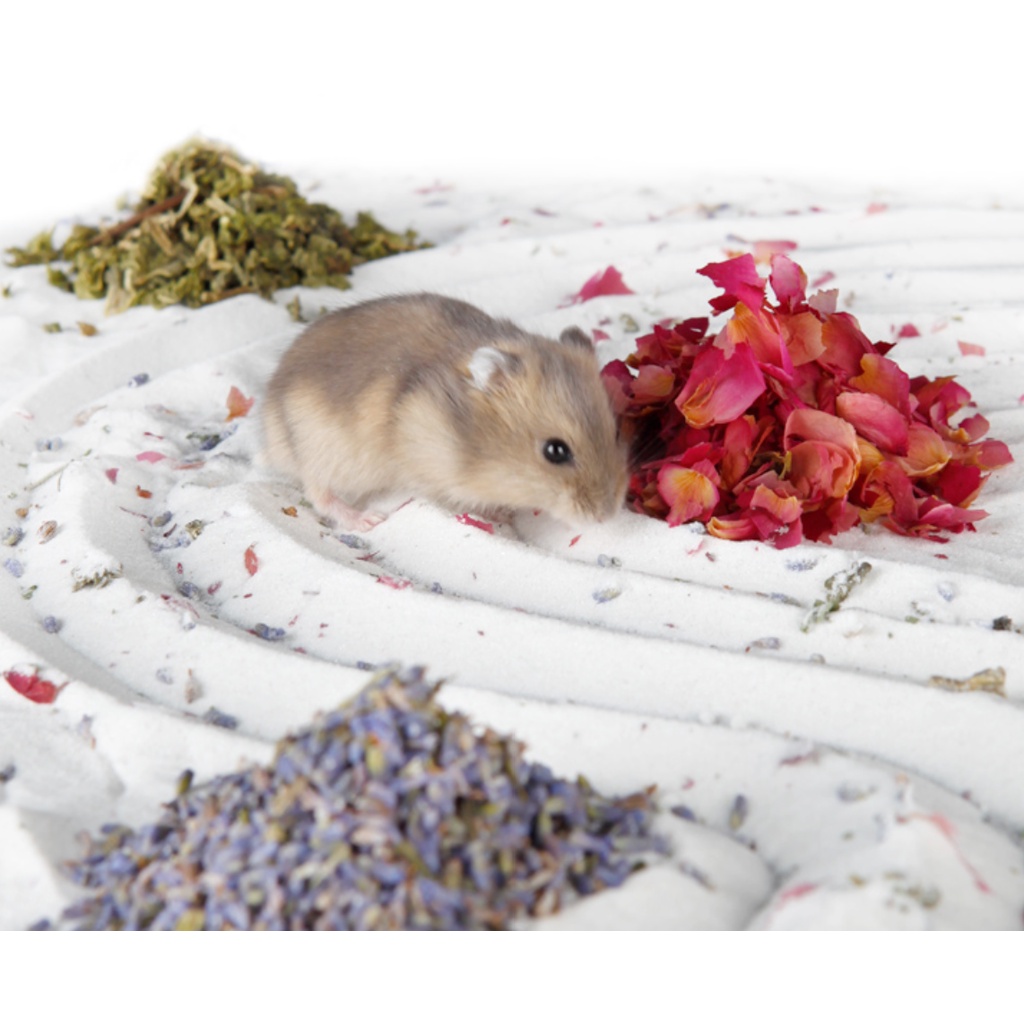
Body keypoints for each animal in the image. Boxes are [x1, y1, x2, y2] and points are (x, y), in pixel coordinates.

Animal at [261, 293, 628, 530]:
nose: (607, 515)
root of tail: (269, 416)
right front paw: (503, 515)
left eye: (615, 432)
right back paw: (368, 521)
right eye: (555, 451)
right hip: (320, 451)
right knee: (319, 494)